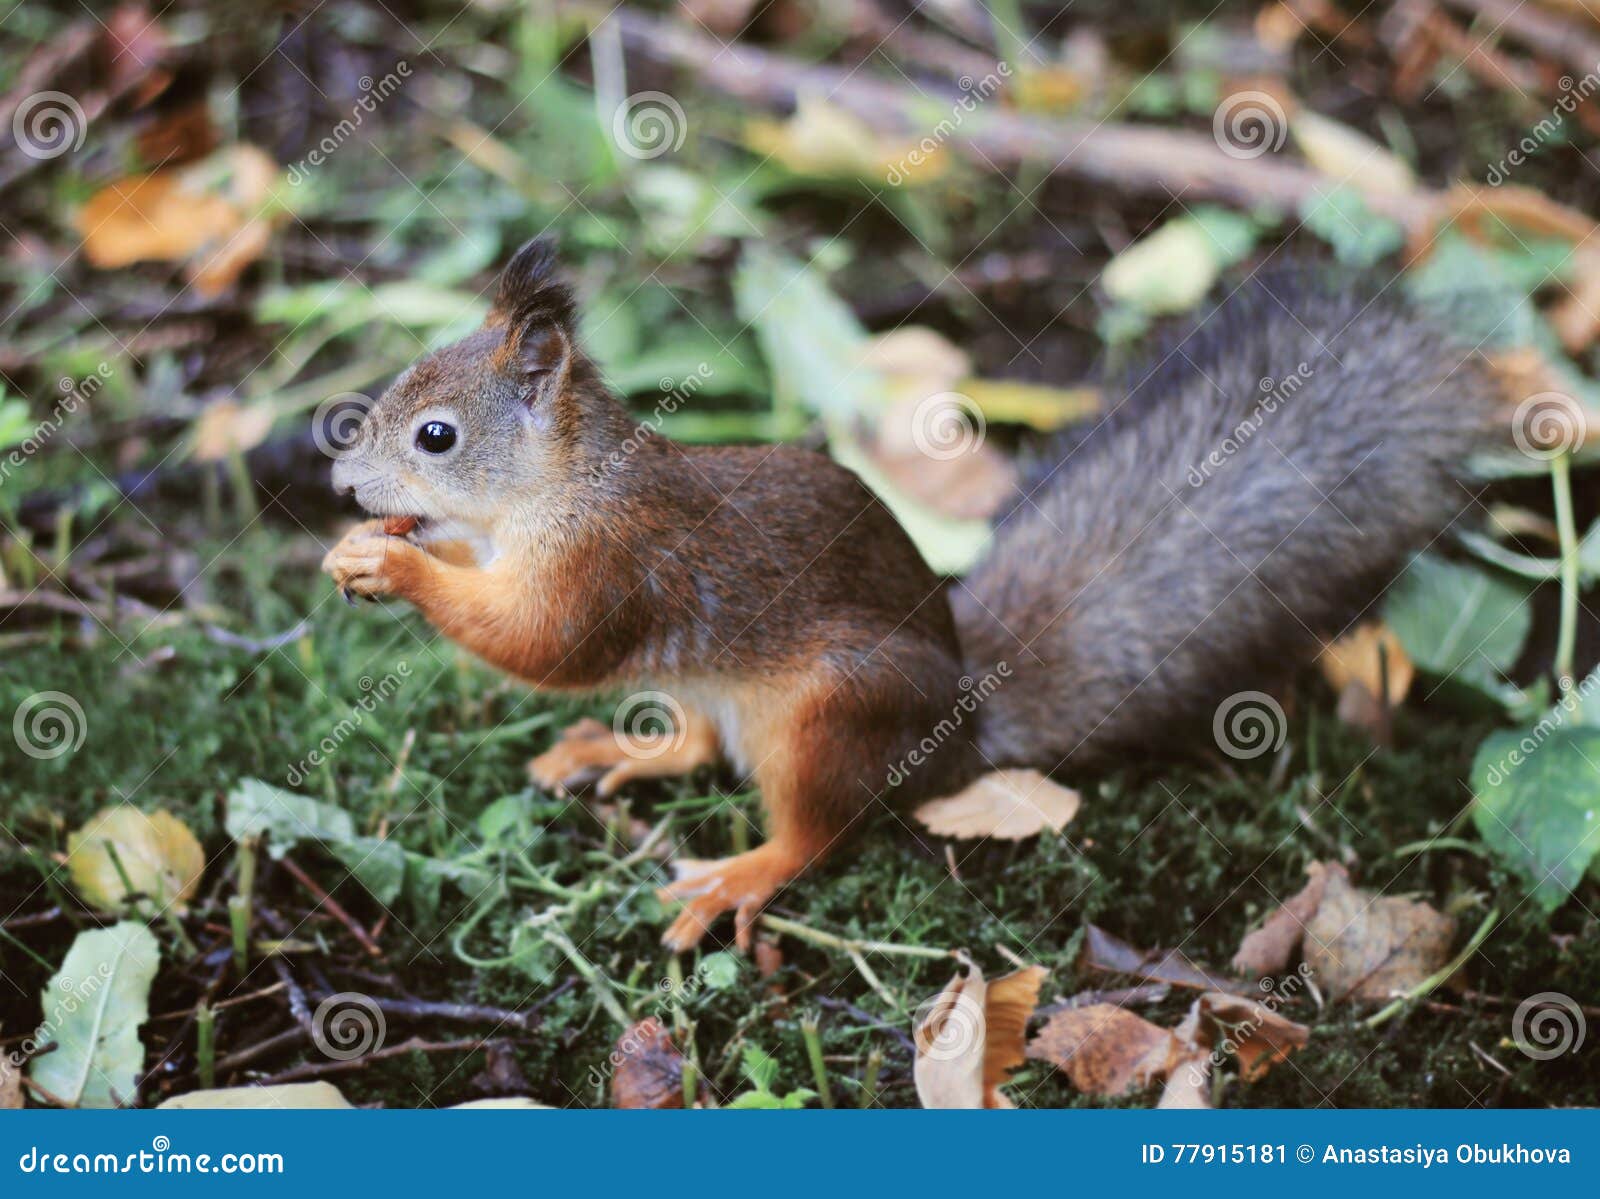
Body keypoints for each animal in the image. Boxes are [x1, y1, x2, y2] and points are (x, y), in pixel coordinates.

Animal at [322, 239, 1503, 951]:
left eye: (438, 435)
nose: (341, 482)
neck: (561, 485)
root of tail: (960, 725)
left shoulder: (607, 559)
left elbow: (543, 643)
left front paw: (398, 564)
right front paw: (366, 544)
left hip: (826, 711)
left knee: (815, 827)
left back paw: (741, 873)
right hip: (716, 691)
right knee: (699, 744)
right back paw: (621, 748)